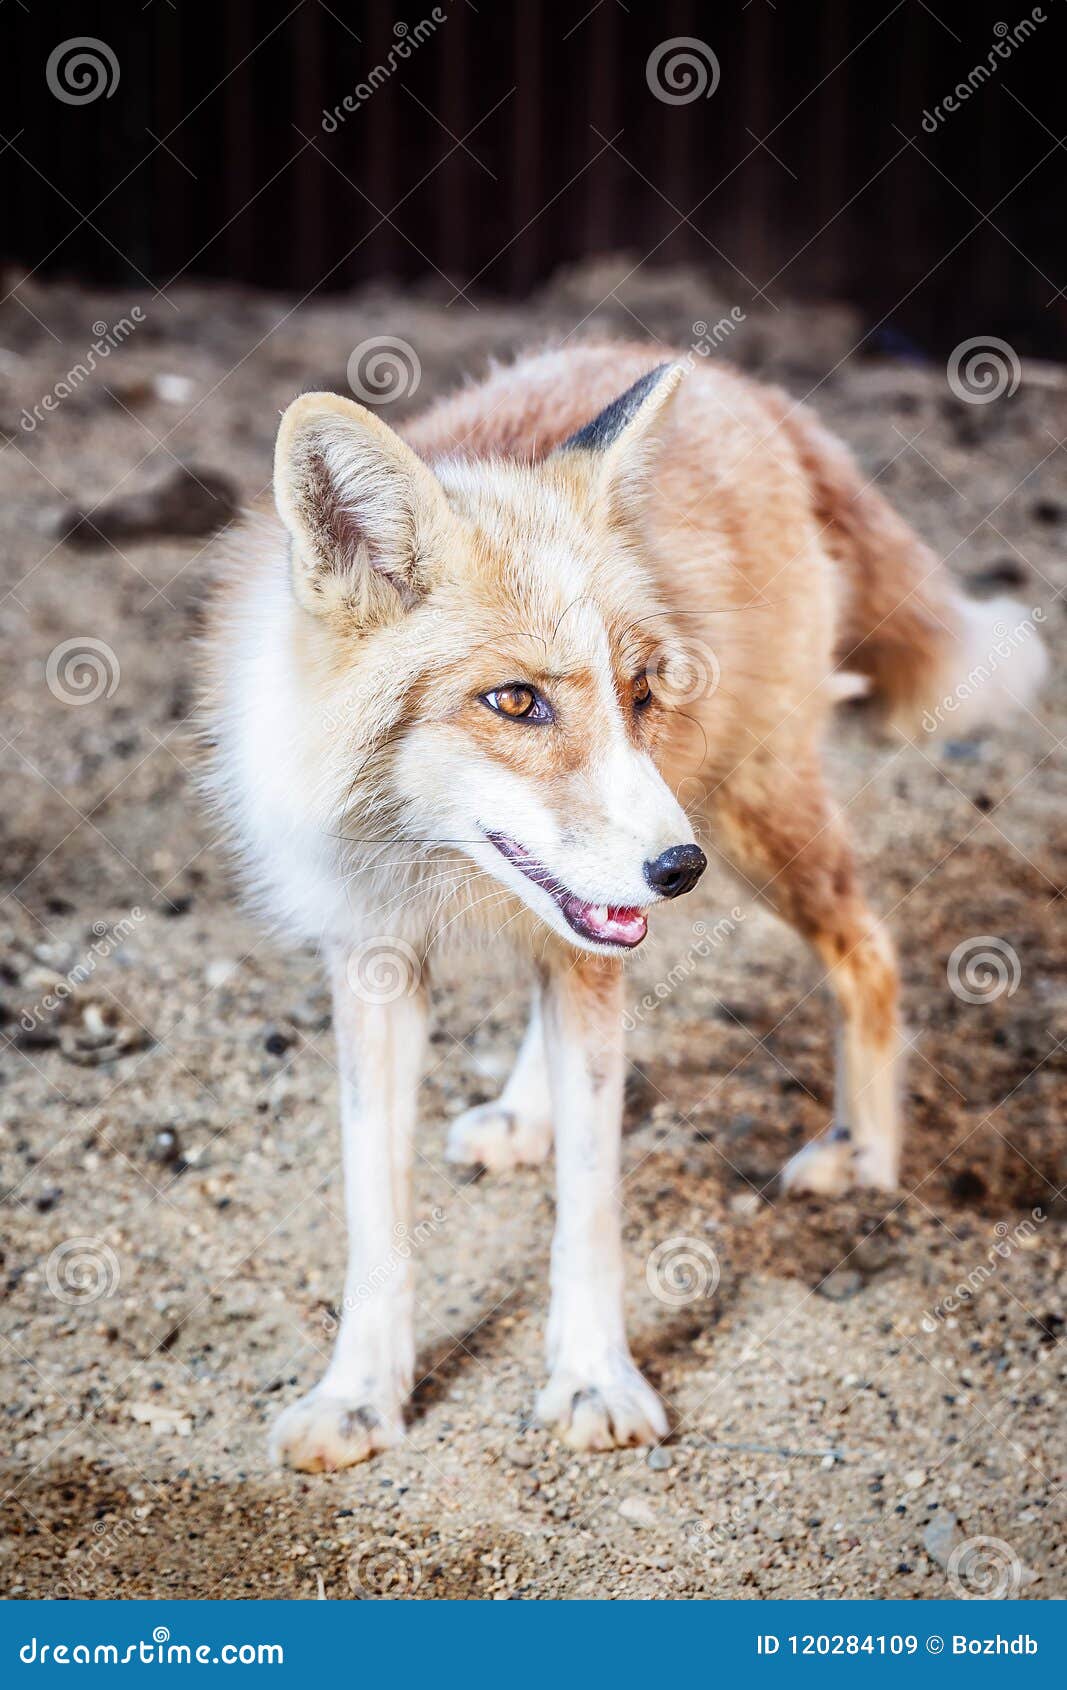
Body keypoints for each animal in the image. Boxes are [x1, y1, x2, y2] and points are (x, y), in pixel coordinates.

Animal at [201, 341, 1046, 1471]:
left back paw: (861, 1155)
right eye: (515, 701)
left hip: (758, 814)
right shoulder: (374, 958)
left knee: (868, 951)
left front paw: (592, 1380)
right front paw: (360, 1397)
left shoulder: (595, 949)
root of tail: (740, 383)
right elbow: (374, 1217)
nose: (678, 868)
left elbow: (590, 1210)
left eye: (643, 693)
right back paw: (525, 1111)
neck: (433, 866)